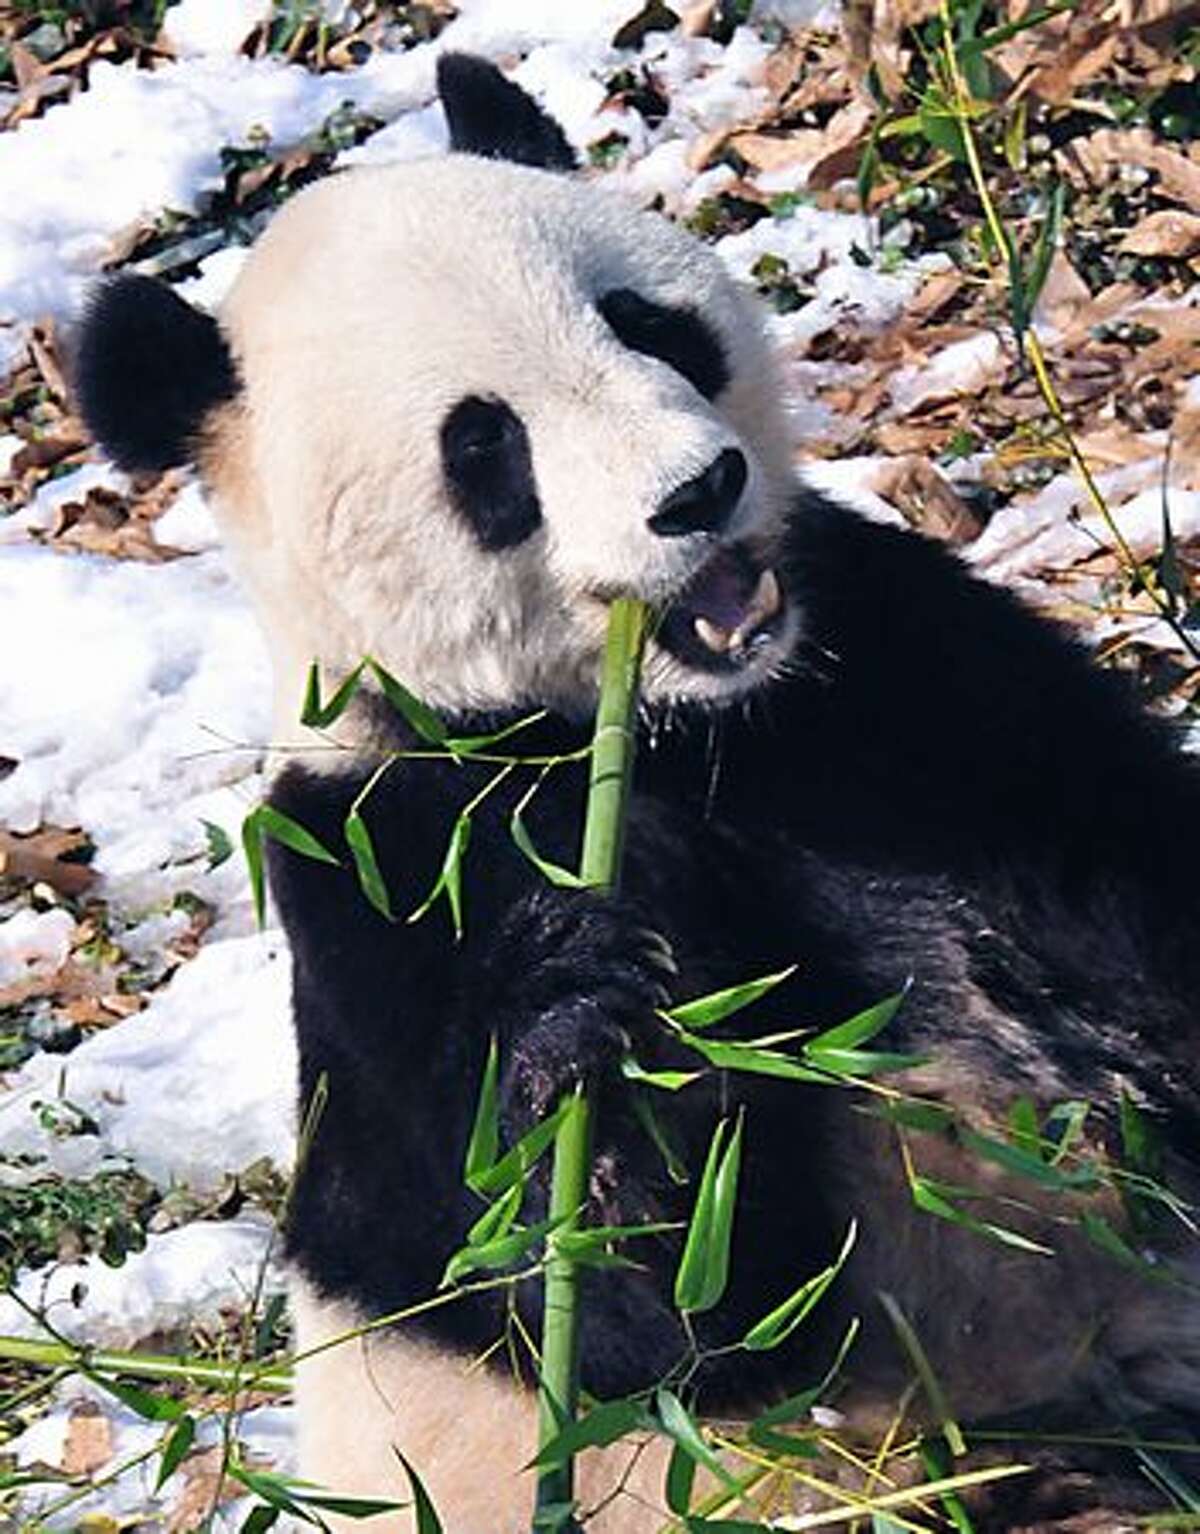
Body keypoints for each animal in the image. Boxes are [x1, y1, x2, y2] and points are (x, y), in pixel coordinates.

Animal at [75, 51, 1200, 1534]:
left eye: (648, 324)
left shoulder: (902, 675)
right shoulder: (387, 862)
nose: (699, 488)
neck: (660, 724)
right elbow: (643, 1300)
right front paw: (583, 1030)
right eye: (484, 447)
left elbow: (1124, 893)